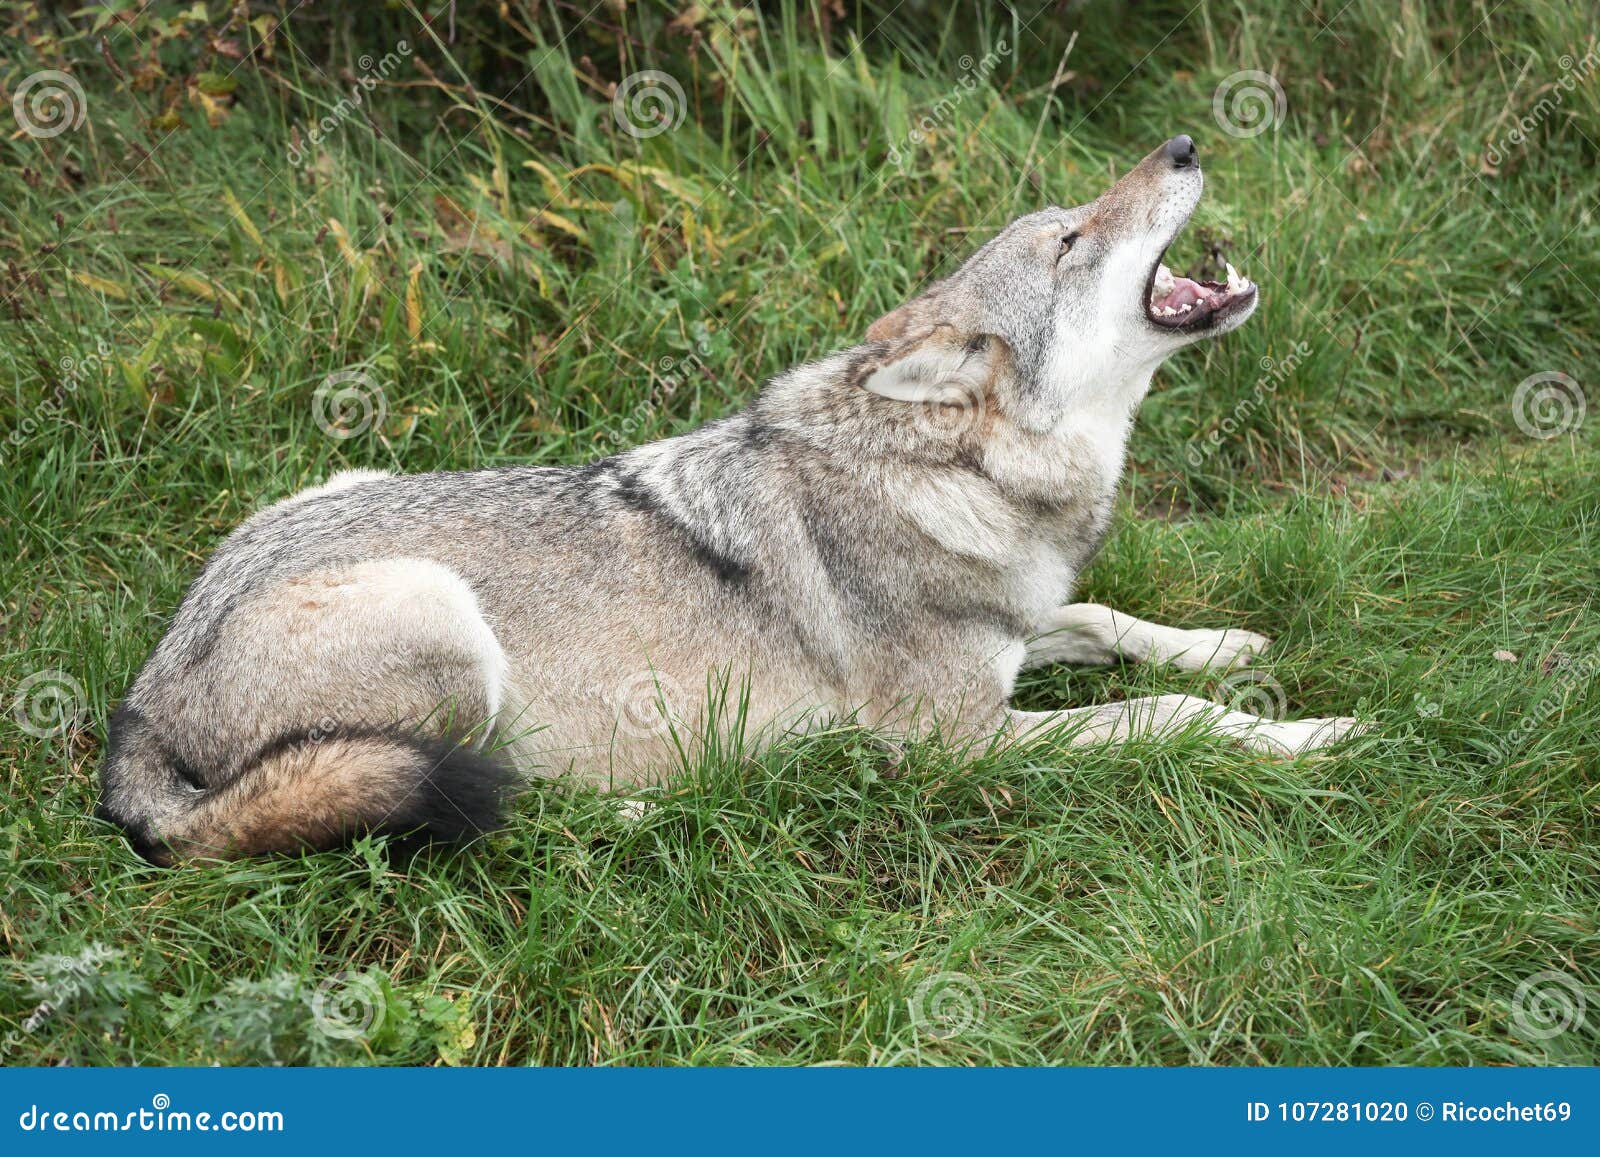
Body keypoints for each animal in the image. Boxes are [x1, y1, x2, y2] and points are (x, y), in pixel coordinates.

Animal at [99, 136, 1360, 865]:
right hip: (443, 624)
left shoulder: (1021, 630)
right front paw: (1310, 733)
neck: (956, 477)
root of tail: (139, 699)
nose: (1183, 140)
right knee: (493, 811)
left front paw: (1231, 644)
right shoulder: (959, 746)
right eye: (1070, 239)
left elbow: (1109, 620)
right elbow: (1169, 719)